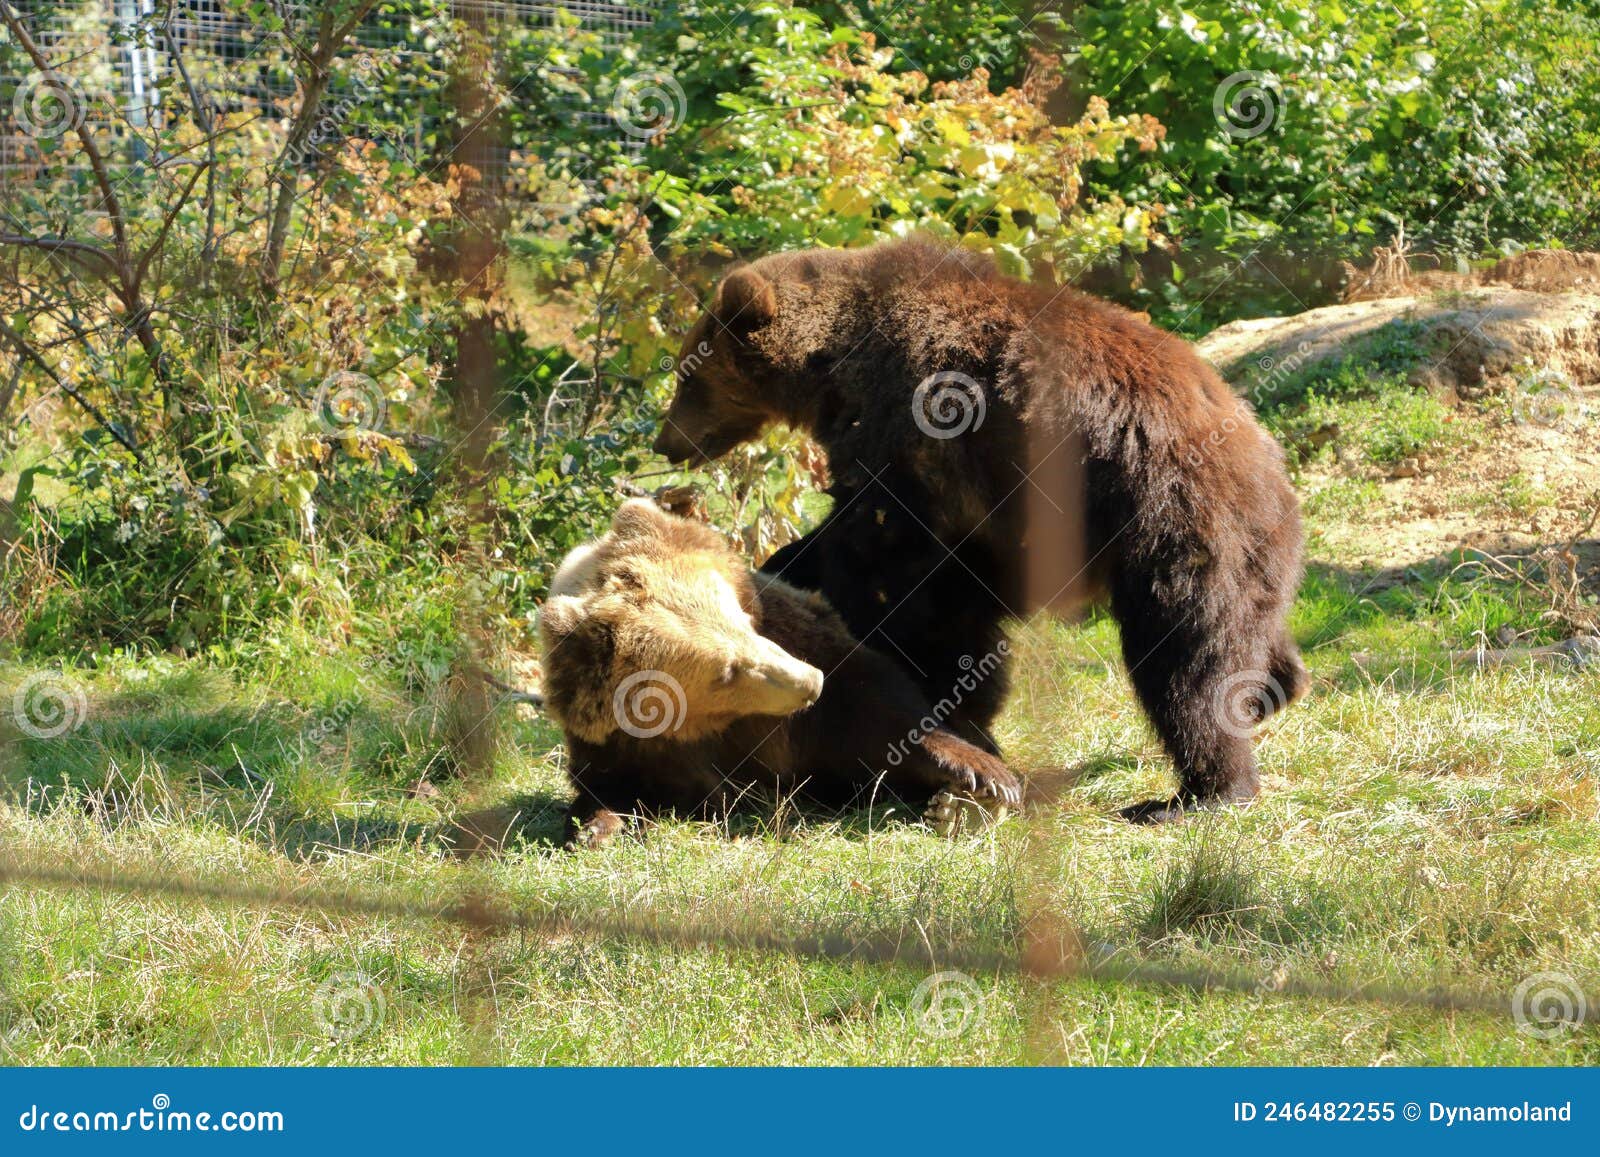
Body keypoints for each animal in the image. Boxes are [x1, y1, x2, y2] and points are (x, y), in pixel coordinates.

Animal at [537, 499, 1023, 847]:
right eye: (724, 672)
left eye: (742, 621)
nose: (810, 683)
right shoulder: (632, 749)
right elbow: (617, 789)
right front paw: (595, 828)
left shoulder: (813, 652)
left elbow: (881, 713)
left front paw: (985, 777)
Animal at [652, 239, 1307, 821]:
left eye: (688, 378)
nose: (666, 442)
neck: (832, 365)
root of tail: (1259, 451)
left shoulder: (914, 433)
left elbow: (897, 575)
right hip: (1245, 544)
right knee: (1245, 633)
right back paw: (1276, 688)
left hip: (1169, 519)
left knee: (1185, 657)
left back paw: (1199, 792)